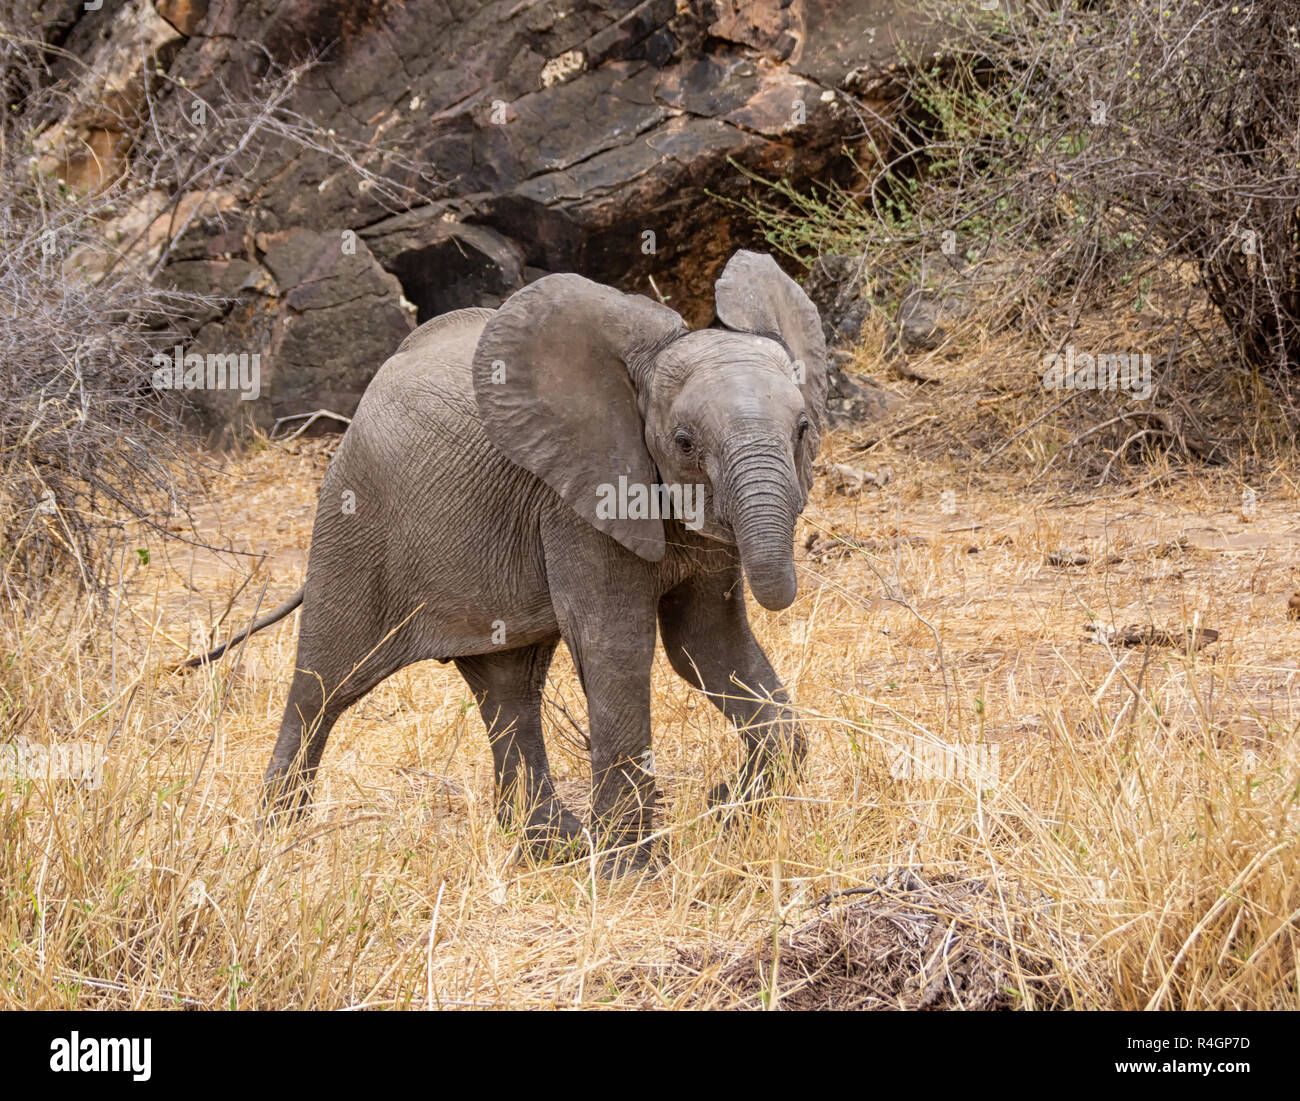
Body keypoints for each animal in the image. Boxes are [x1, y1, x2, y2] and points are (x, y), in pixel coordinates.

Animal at [187, 250, 827, 873]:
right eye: (685, 442)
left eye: (802, 429)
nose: (717, 796)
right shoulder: (574, 502)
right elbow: (618, 647)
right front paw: (633, 871)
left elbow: (707, 643)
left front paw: (726, 814)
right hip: (353, 521)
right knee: (323, 686)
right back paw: (274, 842)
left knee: (508, 689)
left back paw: (552, 849)